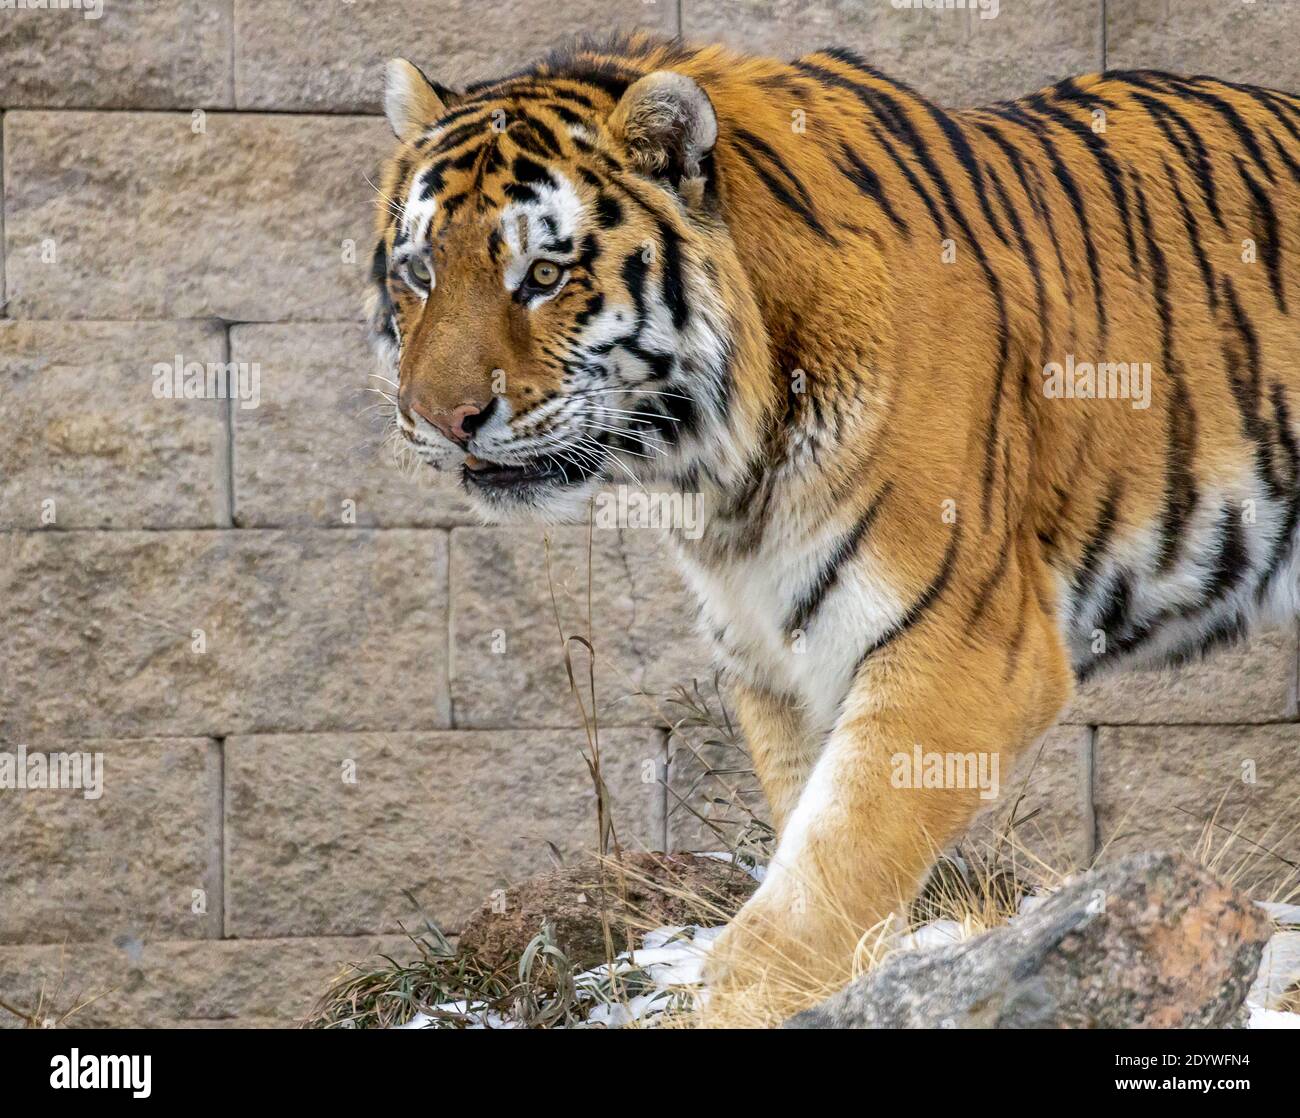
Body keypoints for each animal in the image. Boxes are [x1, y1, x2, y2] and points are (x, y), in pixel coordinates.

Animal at [368, 31, 1300, 1025]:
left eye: (543, 277)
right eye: (420, 274)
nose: (438, 420)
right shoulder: (778, 661)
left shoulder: (965, 650)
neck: (721, 475)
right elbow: (813, 848)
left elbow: (823, 879)